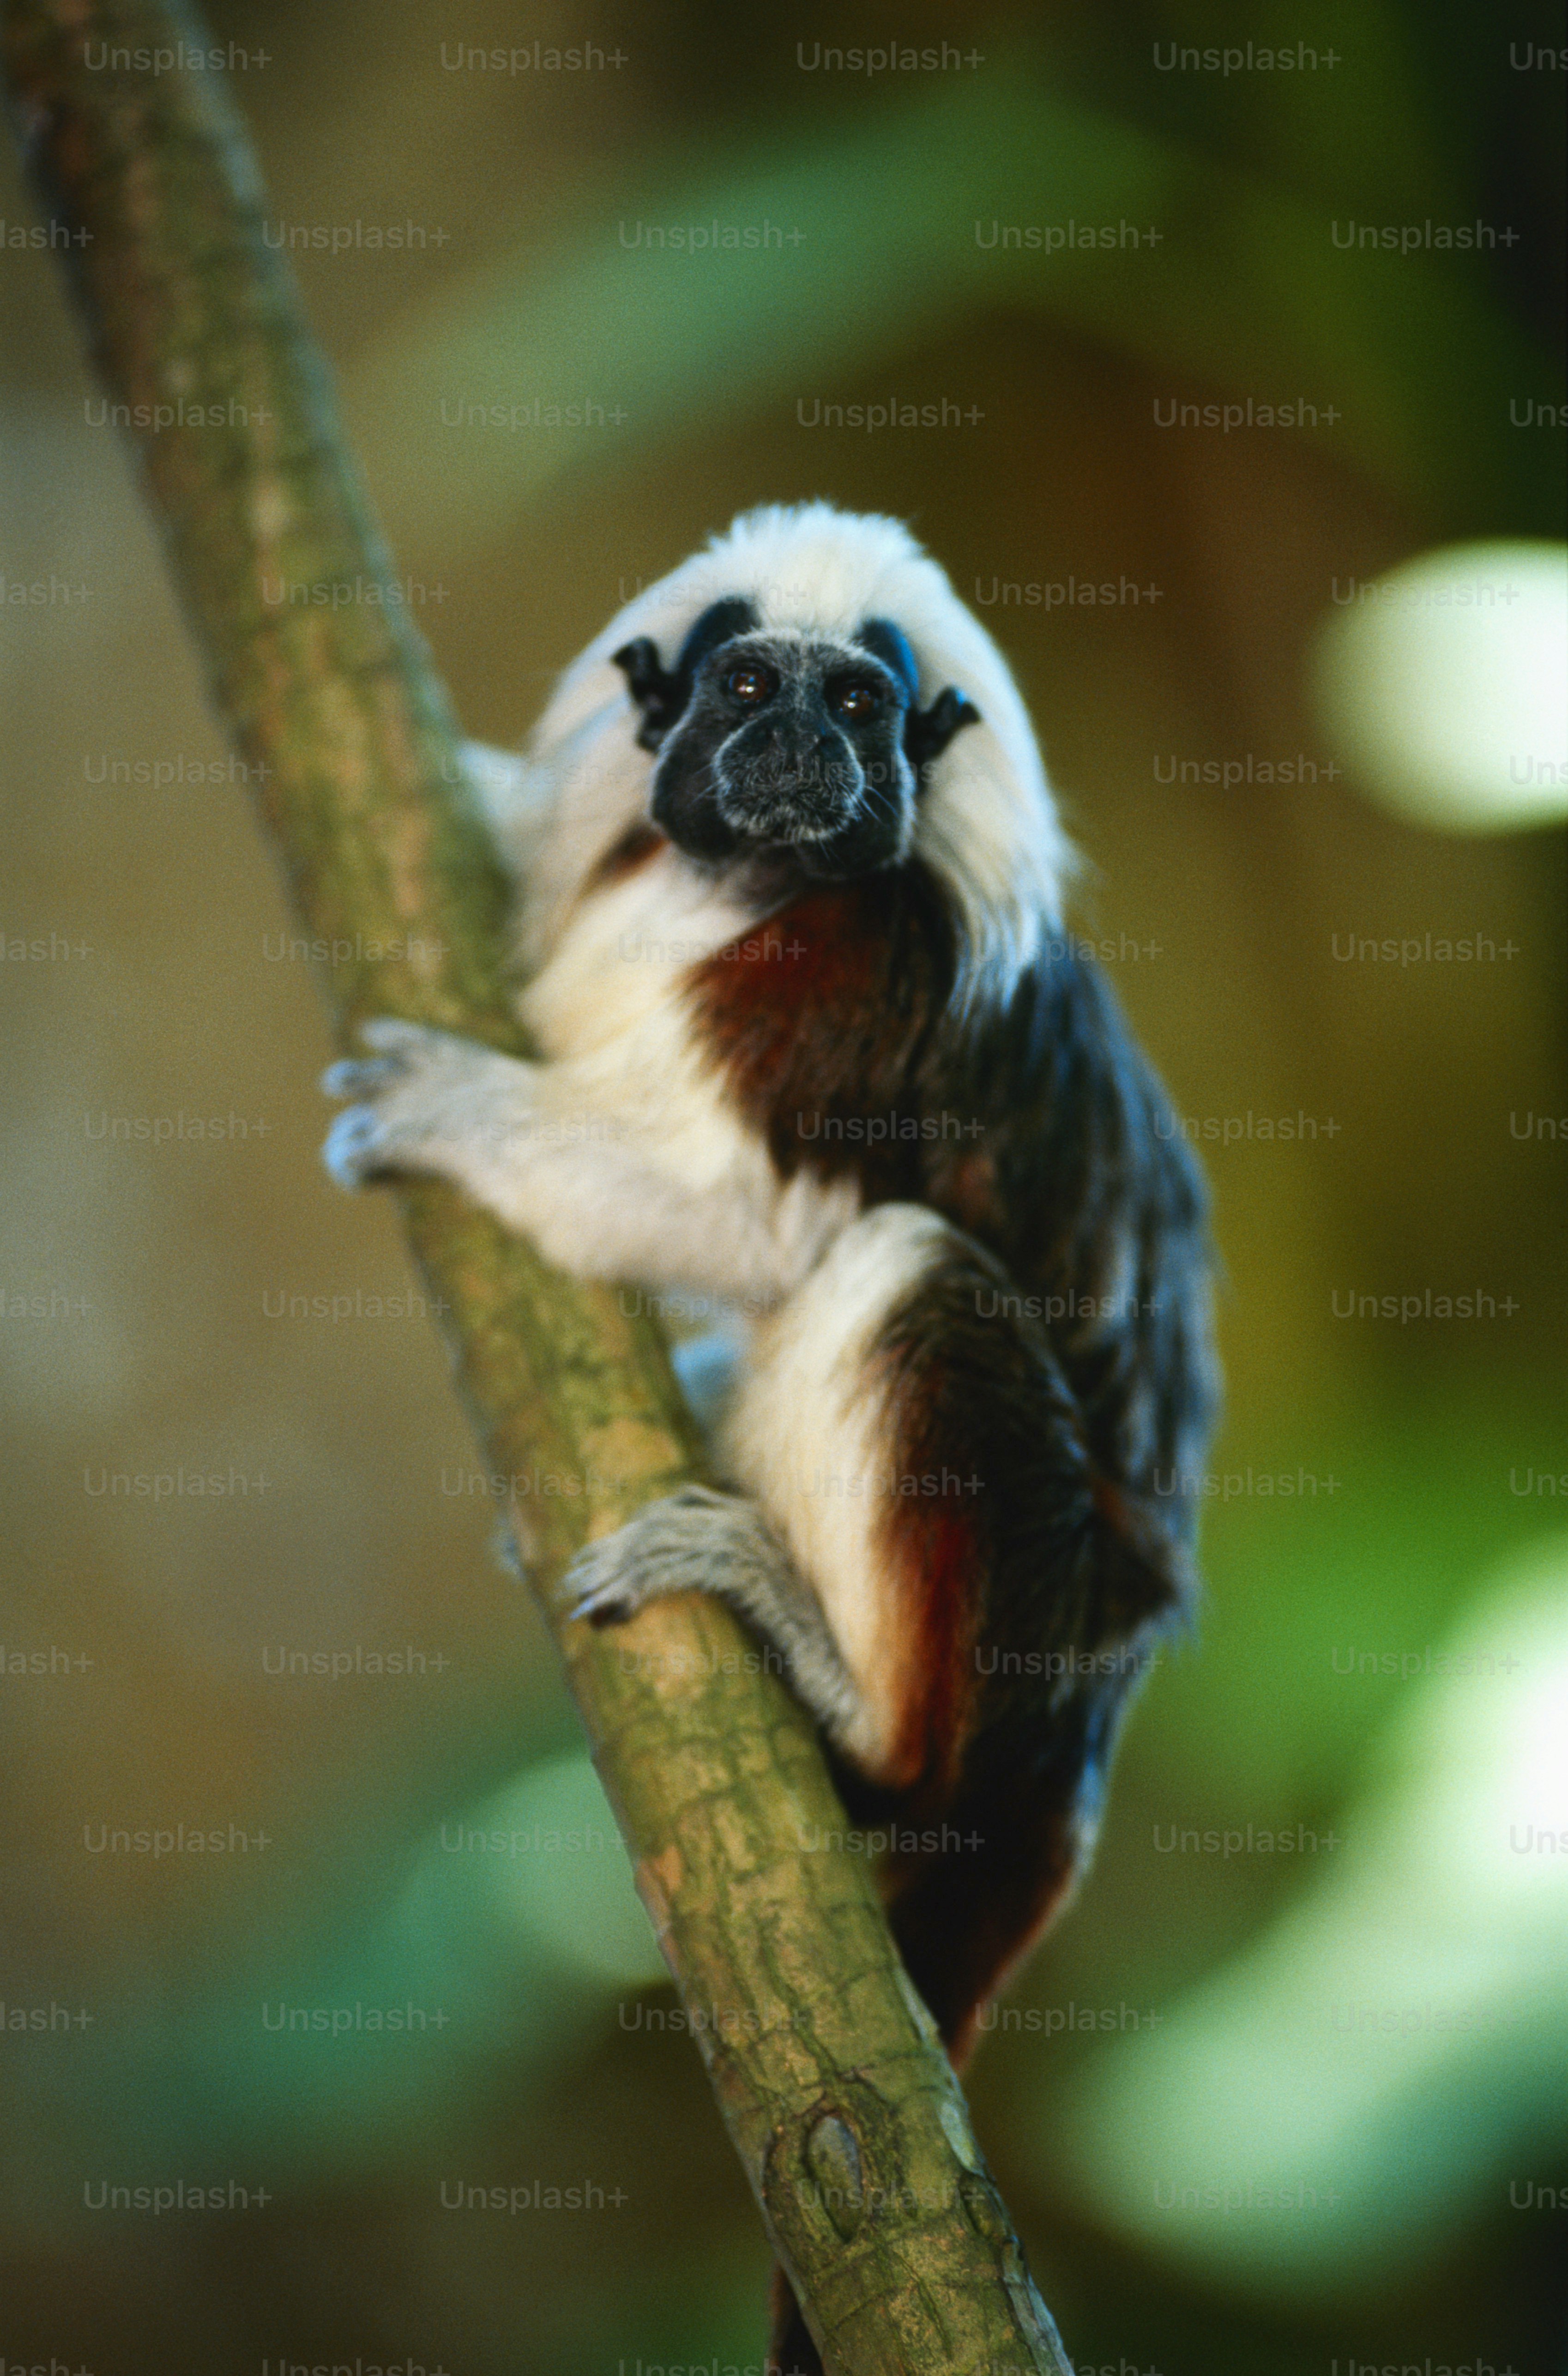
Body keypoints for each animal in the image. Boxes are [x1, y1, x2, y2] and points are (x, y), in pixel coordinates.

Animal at [321, 501, 1218, 2375]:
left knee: (907, 1278)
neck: (721, 893)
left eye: (861, 706)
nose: (803, 743)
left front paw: (457, 1113)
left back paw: (847, 1700)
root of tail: (1098, 1689)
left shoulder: (856, 976)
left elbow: (757, 1218)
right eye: (744, 688)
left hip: (1018, 1611)